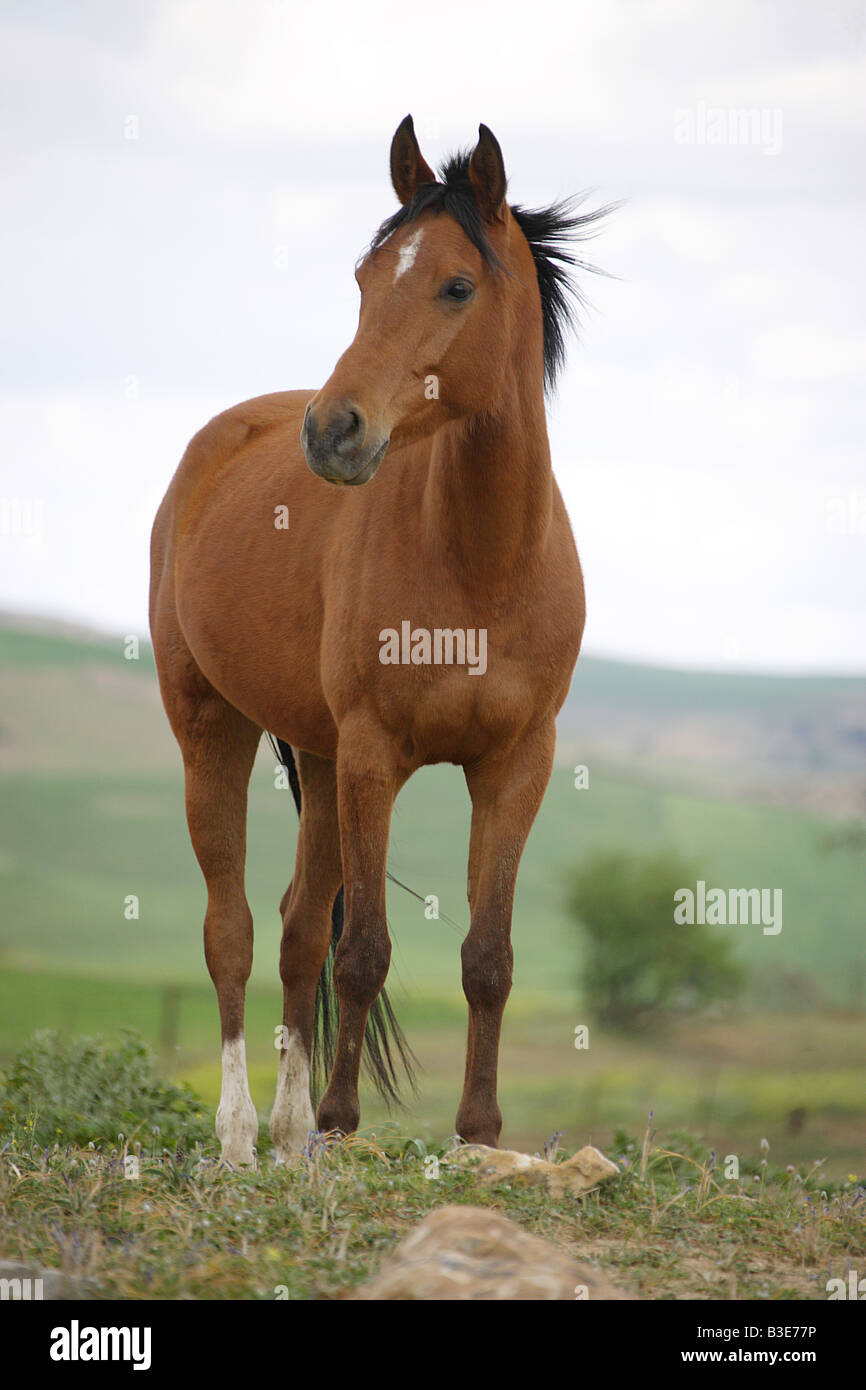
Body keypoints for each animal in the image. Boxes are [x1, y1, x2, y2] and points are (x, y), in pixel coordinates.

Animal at [149, 115, 609, 1165]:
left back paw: (284, 1137)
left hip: (315, 759)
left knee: (292, 933)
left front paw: (477, 1137)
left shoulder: (515, 764)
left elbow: (487, 956)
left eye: (456, 285)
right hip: (214, 729)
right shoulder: (373, 755)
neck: (480, 562)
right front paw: (341, 1124)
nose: (333, 431)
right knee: (232, 932)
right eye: (363, 279)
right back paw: (243, 1136)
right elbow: (362, 952)